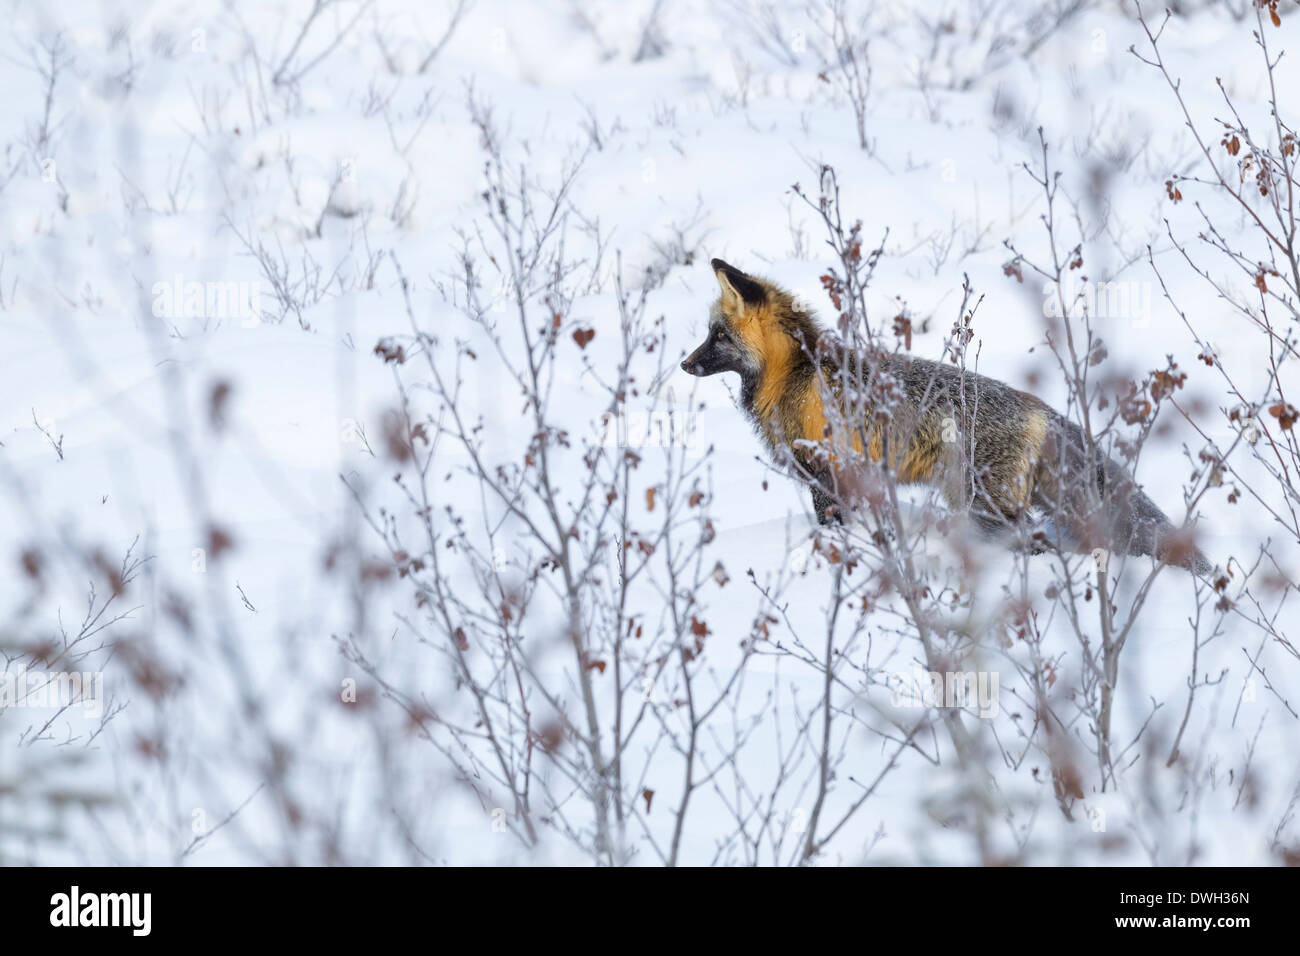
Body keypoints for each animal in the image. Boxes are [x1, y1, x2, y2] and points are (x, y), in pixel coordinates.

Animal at [681, 258, 1212, 576]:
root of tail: (1042, 406)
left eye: (717, 335)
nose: (684, 365)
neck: (794, 374)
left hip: (983, 507)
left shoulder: (825, 475)